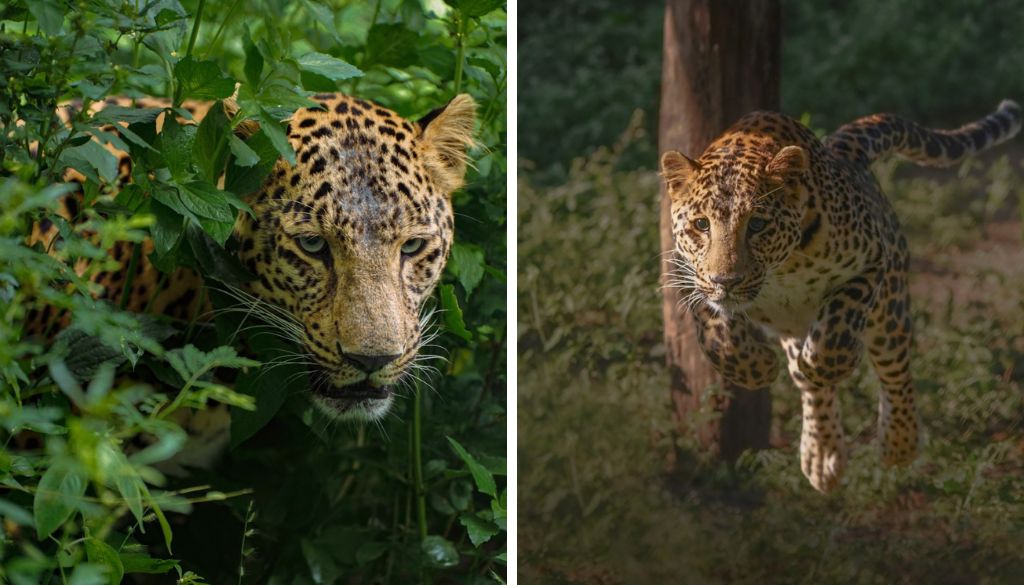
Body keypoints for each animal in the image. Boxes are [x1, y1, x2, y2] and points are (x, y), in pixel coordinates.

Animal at [660, 99, 1021, 492]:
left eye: (757, 224)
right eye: (701, 225)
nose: (726, 279)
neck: (781, 270)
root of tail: (845, 150)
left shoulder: (869, 265)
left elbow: (831, 343)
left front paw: (835, 363)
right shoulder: (686, 272)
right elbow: (719, 339)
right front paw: (759, 367)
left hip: (889, 307)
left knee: (893, 371)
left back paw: (899, 443)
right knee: (810, 383)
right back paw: (822, 455)